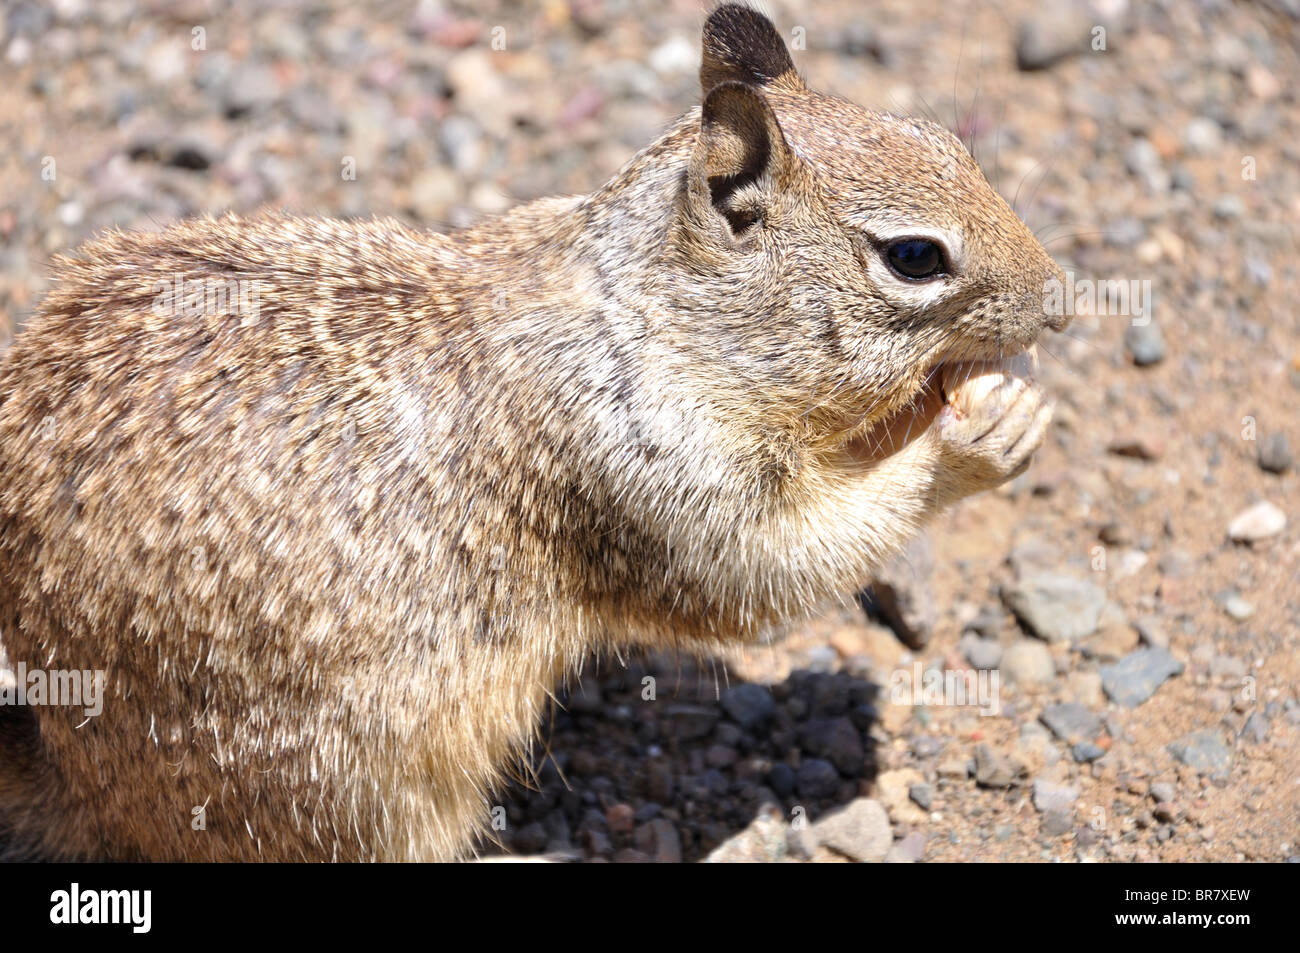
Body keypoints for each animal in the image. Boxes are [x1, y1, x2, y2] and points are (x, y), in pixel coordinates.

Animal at [0, 5, 1067, 861]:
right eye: (914, 257)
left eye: (948, 141)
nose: (1058, 300)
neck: (651, 311)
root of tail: (74, 772)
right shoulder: (648, 470)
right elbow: (769, 569)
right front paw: (971, 439)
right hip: (355, 787)